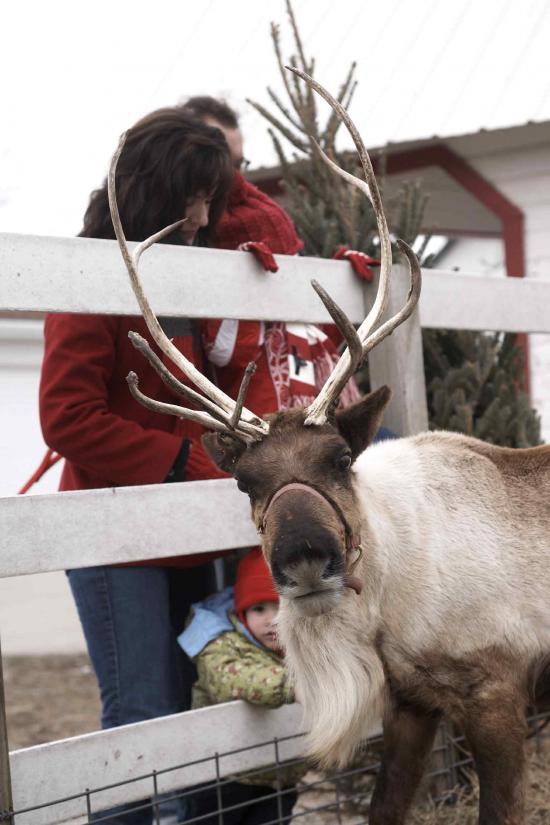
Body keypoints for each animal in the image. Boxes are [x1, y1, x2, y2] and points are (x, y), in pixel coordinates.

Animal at [107, 69, 550, 825]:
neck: (396, 589)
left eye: (341, 460)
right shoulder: (410, 701)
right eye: (245, 482)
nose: (305, 559)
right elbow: (383, 807)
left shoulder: (497, 696)